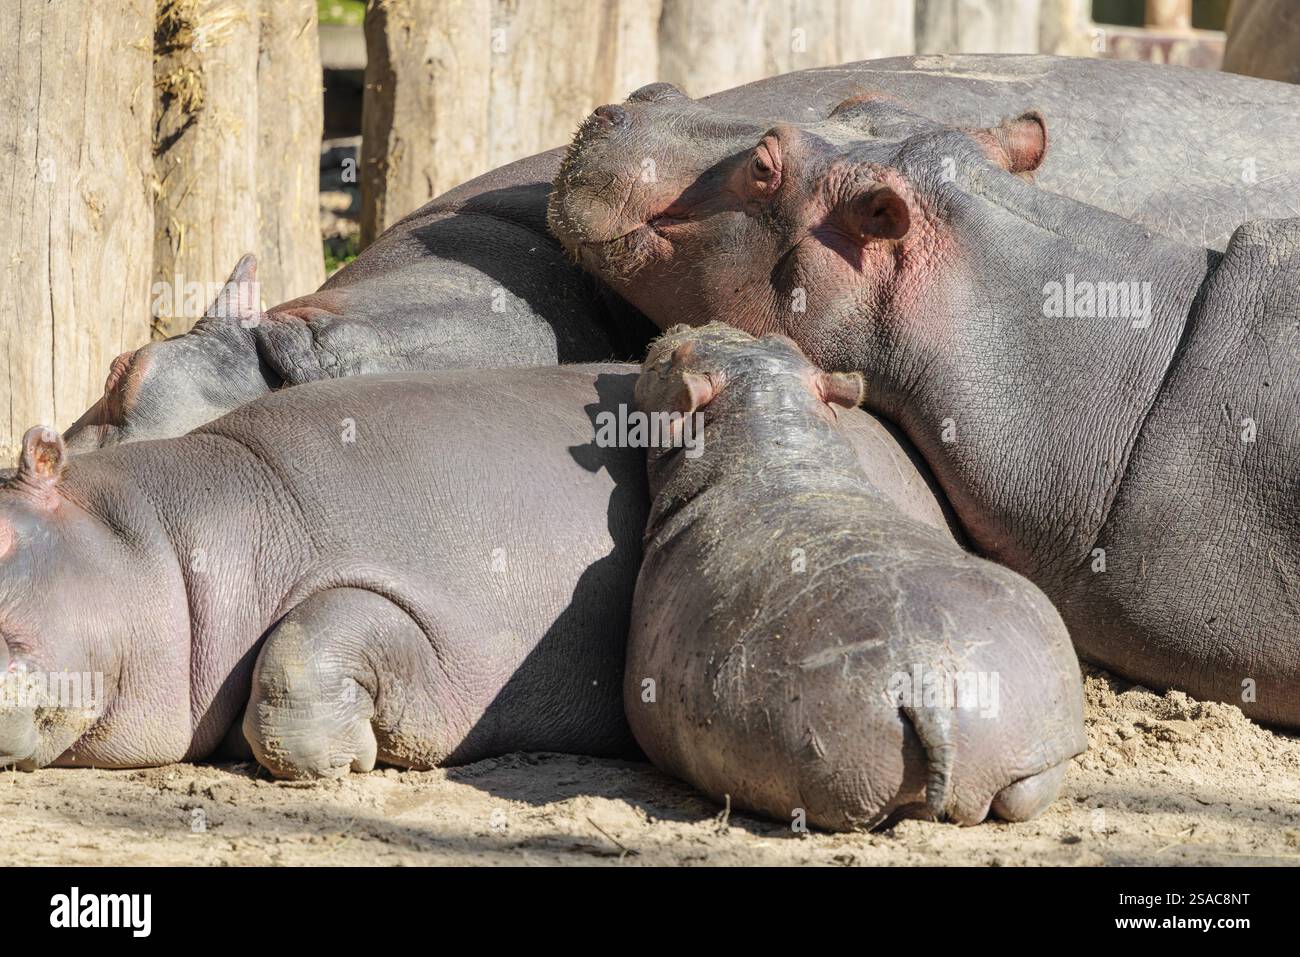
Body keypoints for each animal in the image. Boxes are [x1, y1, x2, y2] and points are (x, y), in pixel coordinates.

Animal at [626, 324, 1085, 830]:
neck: (780, 445)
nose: (689, 327)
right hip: (1034, 731)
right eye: (779, 340)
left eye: (677, 358)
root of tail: (924, 672)